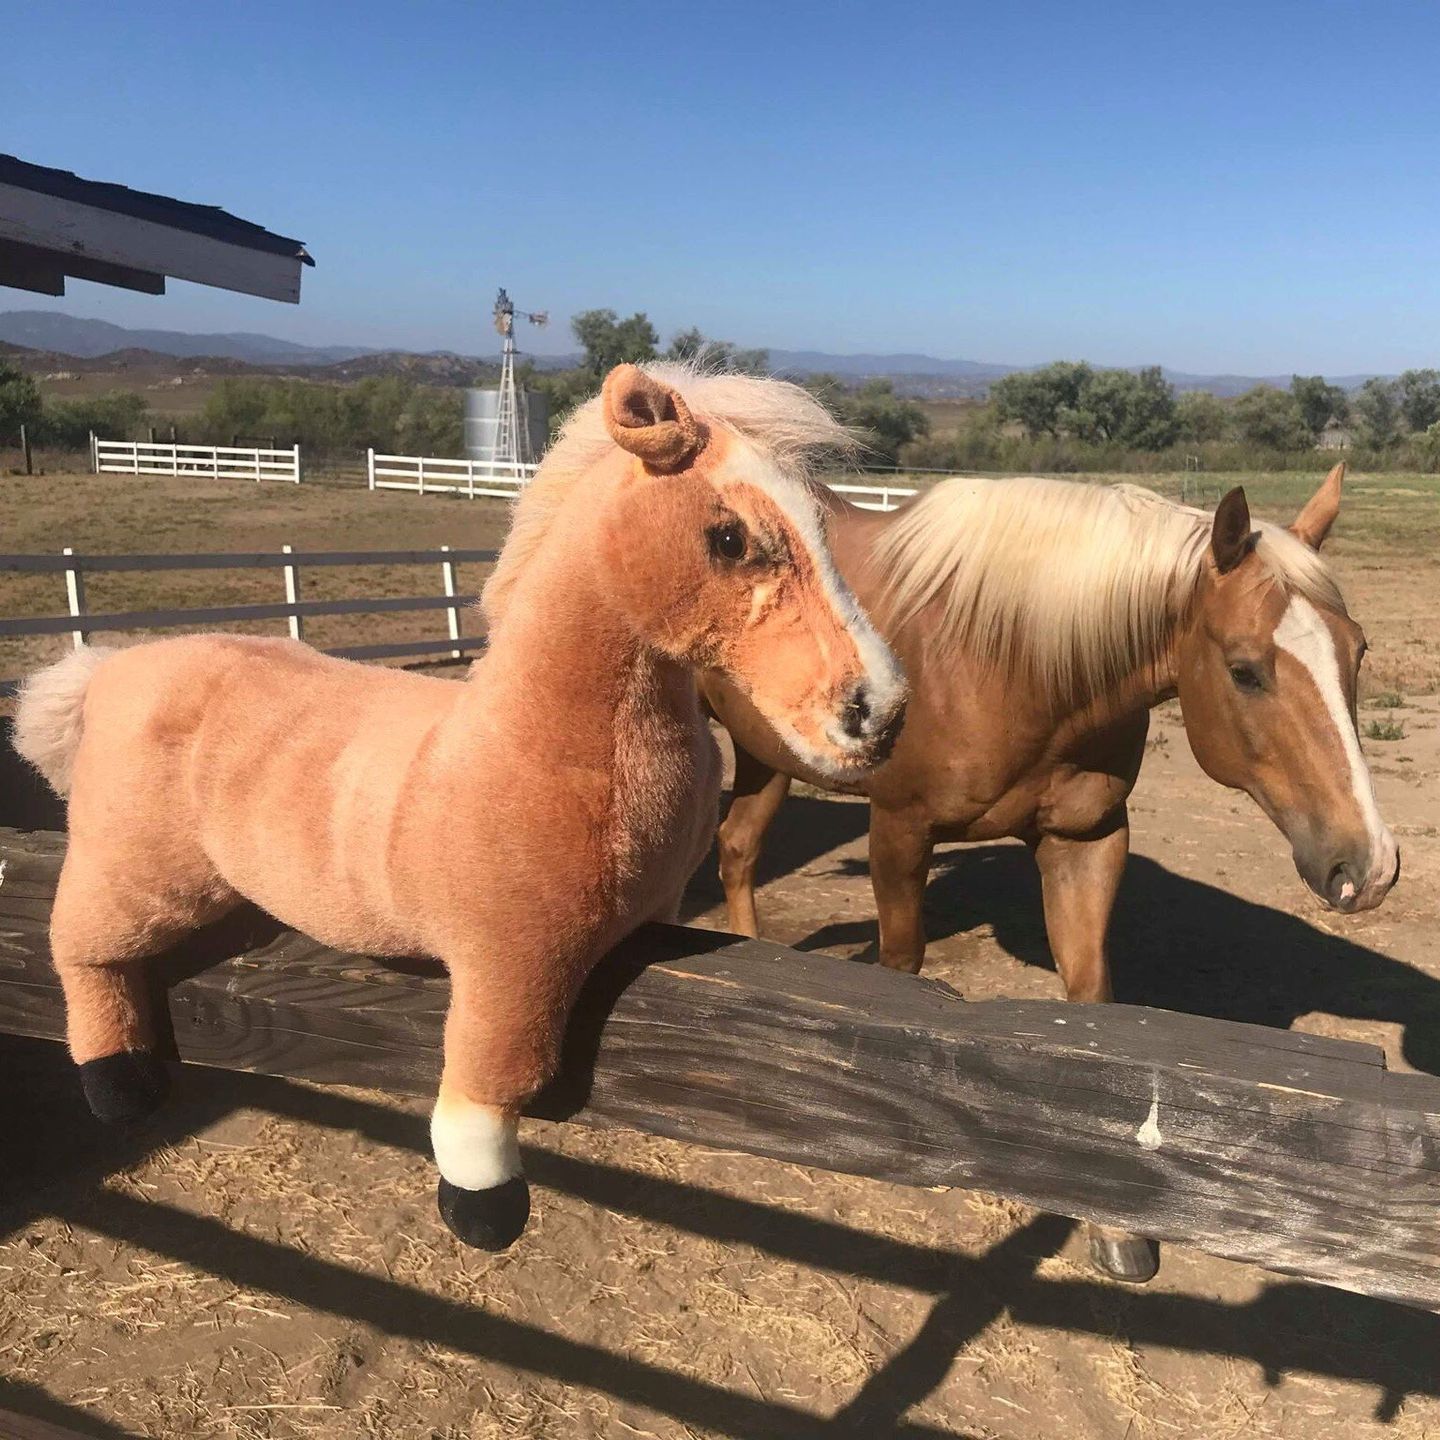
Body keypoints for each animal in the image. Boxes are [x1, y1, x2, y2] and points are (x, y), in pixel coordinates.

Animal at [13, 362, 906, 1252]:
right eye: (729, 539)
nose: (880, 713)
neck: (545, 747)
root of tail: (108, 671)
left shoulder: (649, 916)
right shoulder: (508, 961)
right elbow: (495, 1074)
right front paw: (482, 1206)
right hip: (135, 878)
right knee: (80, 949)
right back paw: (118, 1085)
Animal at [701, 461, 1398, 1282]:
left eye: (1358, 650)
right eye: (1245, 671)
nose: (1369, 865)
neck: (1007, 659)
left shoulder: (1086, 839)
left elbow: (1091, 994)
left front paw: (1115, 1228)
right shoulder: (900, 828)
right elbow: (900, 970)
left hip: (766, 753)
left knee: (738, 847)